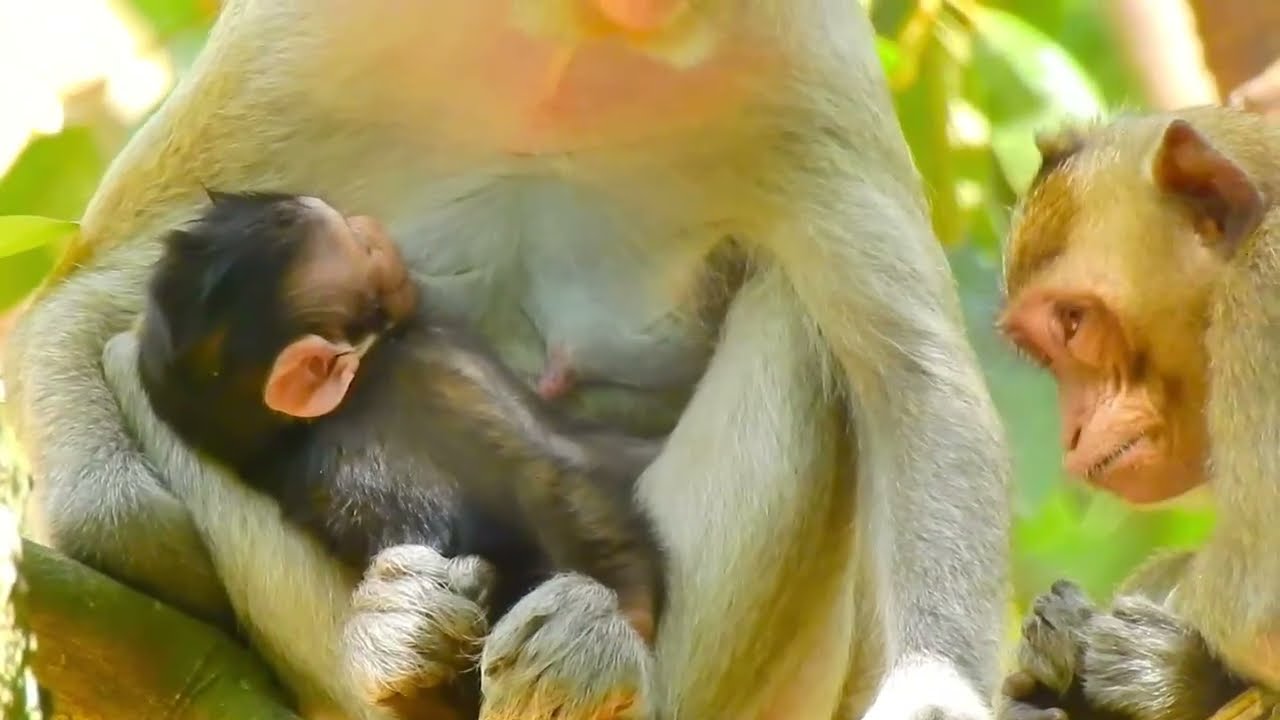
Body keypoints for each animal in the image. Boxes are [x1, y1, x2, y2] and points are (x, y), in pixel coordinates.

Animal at [6, 2, 1012, 720]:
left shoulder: (799, 50)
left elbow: (915, 385)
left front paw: (930, 695)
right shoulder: (308, 26)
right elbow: (98, 294)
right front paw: (129, 538)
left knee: (800, 321)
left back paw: (603, 669)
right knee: (128, 358)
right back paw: (393, 654)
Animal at [995, 105, 1280, 720]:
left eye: (1073, 321)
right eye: (1039, 353)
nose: (1072, 431)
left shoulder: (1261, 306)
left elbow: (1258, 604)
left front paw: (1175, 674)